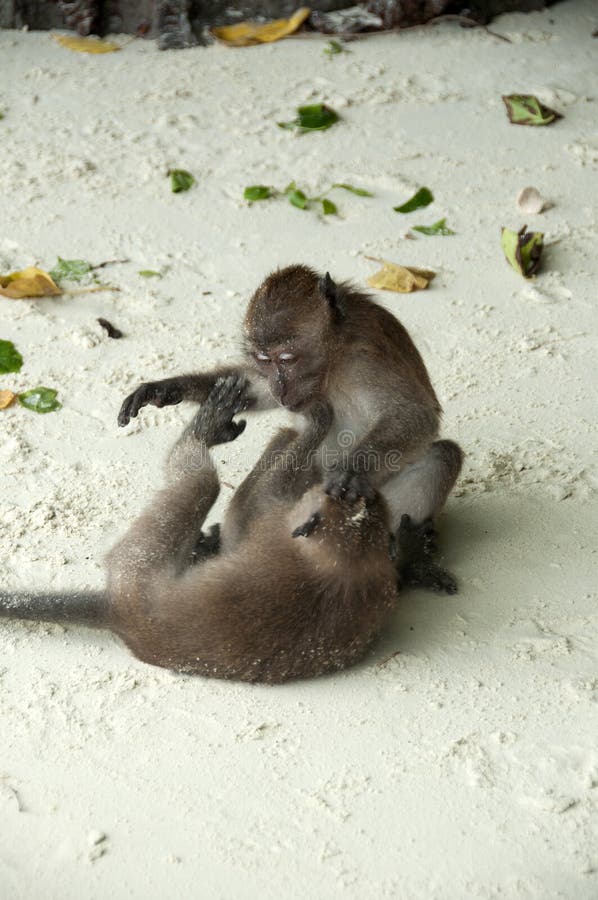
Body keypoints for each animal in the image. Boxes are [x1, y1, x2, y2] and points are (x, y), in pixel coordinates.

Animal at [0, 377, 399, 683]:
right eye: (357, 495)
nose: (346, 485)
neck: (351, 563)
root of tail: (118, 611)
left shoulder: (275, 524)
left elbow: (243, 512)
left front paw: (315, 419)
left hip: (138, 558)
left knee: (204, 483)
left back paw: (203, 433)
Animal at [118, 264, 463, 592]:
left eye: (286, 358)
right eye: (263, 360)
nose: (280, 388)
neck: (333, 358)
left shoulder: (368, 353)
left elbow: (415, 414)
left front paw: (350, 473)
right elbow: (253, 389)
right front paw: (167, 388)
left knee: (443, 456)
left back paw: (405, 562)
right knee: (287, 437)